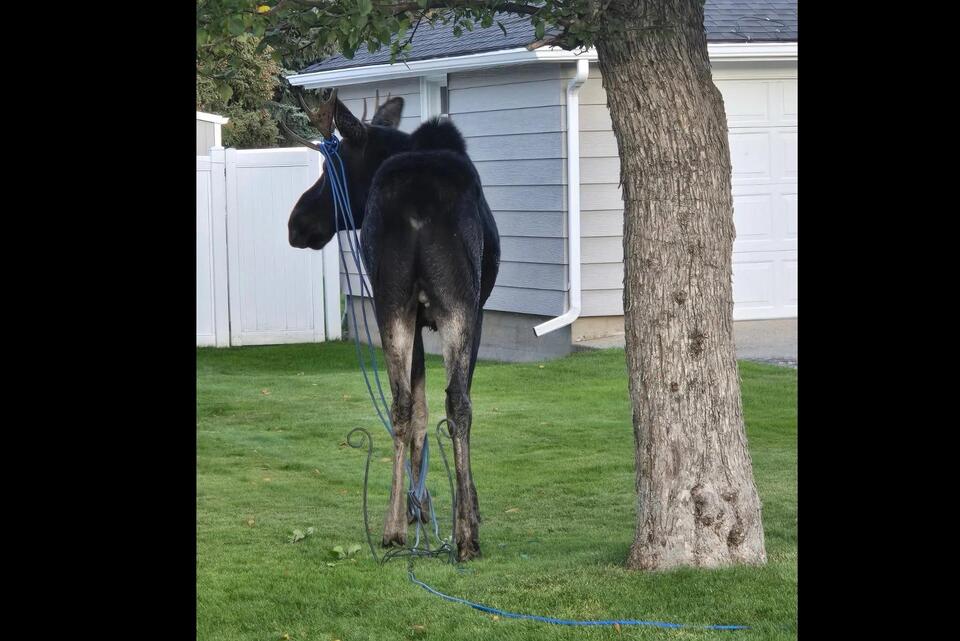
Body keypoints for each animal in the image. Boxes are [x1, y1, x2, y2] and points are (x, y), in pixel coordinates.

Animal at [284, 88, 500, 561]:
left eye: (331, 169)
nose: (295, 224)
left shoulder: (416, 317)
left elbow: (417, 408)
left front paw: (419, 507)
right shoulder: (476, 310)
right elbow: (446, 404)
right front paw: (465, 508)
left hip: (391, 300)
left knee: (399, 403)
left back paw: (392, 527)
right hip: (458, 302)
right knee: (458, 403)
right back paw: (465, 535)